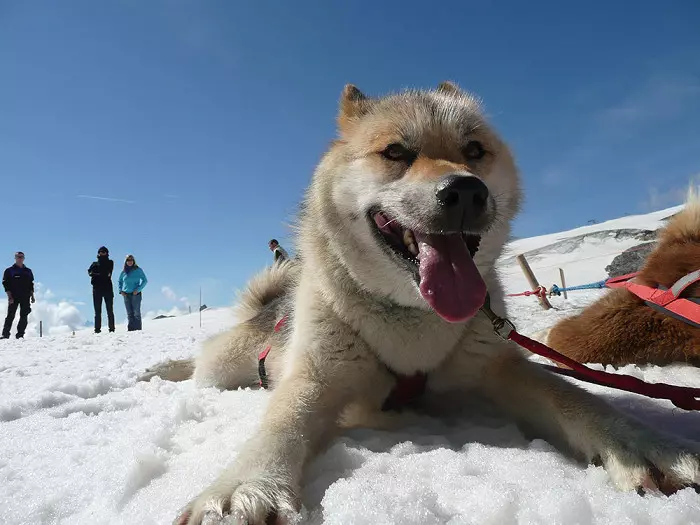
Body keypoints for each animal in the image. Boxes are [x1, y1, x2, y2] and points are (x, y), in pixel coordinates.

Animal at [138, 82, 700, 524]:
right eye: (395, 152)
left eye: (474, 150)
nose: (466, 192)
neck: (412, 320)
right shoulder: (315, 377)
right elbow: (282, 422)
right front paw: (244, 488)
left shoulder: (494, 363)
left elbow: (575, 398)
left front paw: (642, 442)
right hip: (227, 364)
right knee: (200, 361)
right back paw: (160, 370)